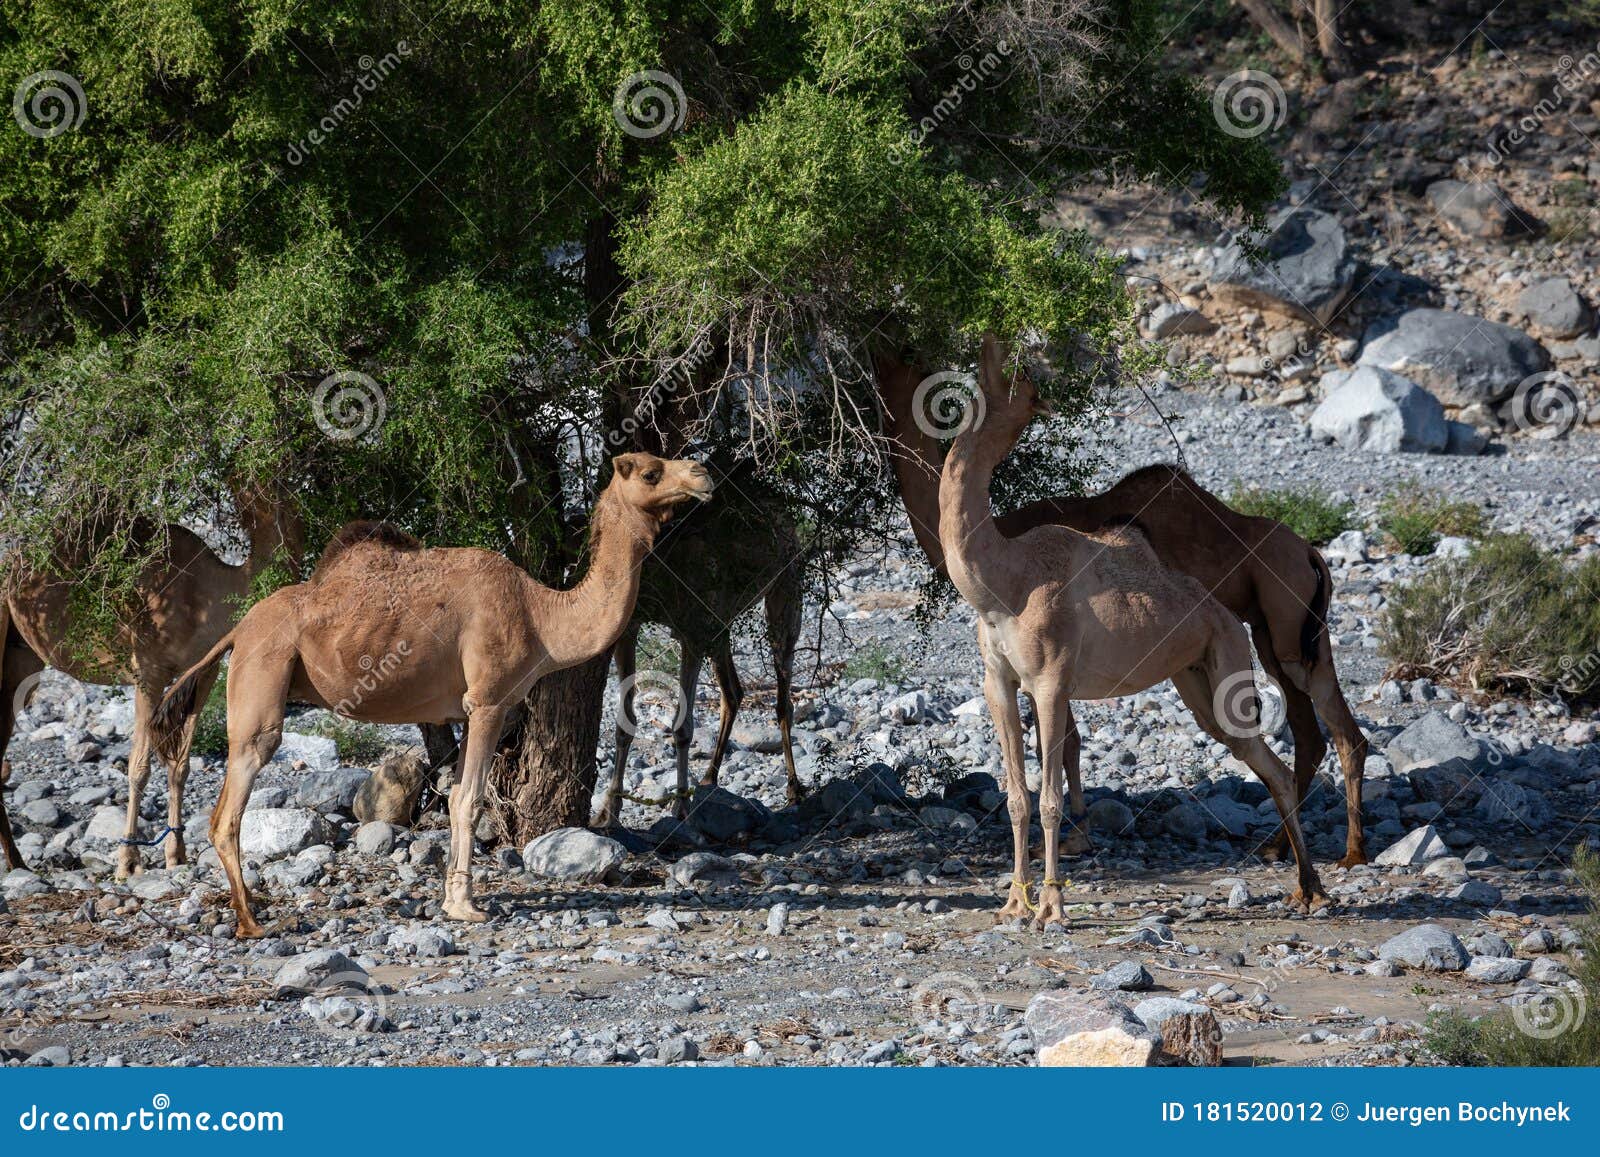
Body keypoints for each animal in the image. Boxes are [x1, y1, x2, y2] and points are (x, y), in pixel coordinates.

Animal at [0, 487, 300, 877]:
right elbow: (139, 766)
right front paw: (128, 861)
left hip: (23, 658)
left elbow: (180, 766)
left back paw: (17, 861)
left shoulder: (203, 672)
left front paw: (176, 854)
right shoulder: (149, 670)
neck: (209, 591)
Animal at [153, 453, 713, 936]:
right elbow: (471, 798)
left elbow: (459, 792)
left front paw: (450, 898)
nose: (703, 474)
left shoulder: (471, 710)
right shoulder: (488, 700)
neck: (542, 618)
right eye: (650, 472)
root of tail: (238, 629)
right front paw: (466, 905)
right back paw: (251, 921)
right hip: (263, 674)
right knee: (230, 806)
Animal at [595, 462, 804, 827]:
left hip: (786, 590)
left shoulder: (691, 633)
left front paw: (680, 806)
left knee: (783, 698)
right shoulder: (630, 629)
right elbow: (625, 722)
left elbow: (682, 725)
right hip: (721, 625)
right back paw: (708, 778)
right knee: (733, 691)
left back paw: (793, 788)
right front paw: (608, 810)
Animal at [878, 350, 1367, 868]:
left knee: (1327, 723)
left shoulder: (1054, 664)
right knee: (1310, 730)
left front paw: (1074, 837)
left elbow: (1065, 745)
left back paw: (1348, 852)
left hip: (1287, 626)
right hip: (1271, 635)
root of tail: (1311, 552)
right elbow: (1060, 745)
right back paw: (1283, 846)